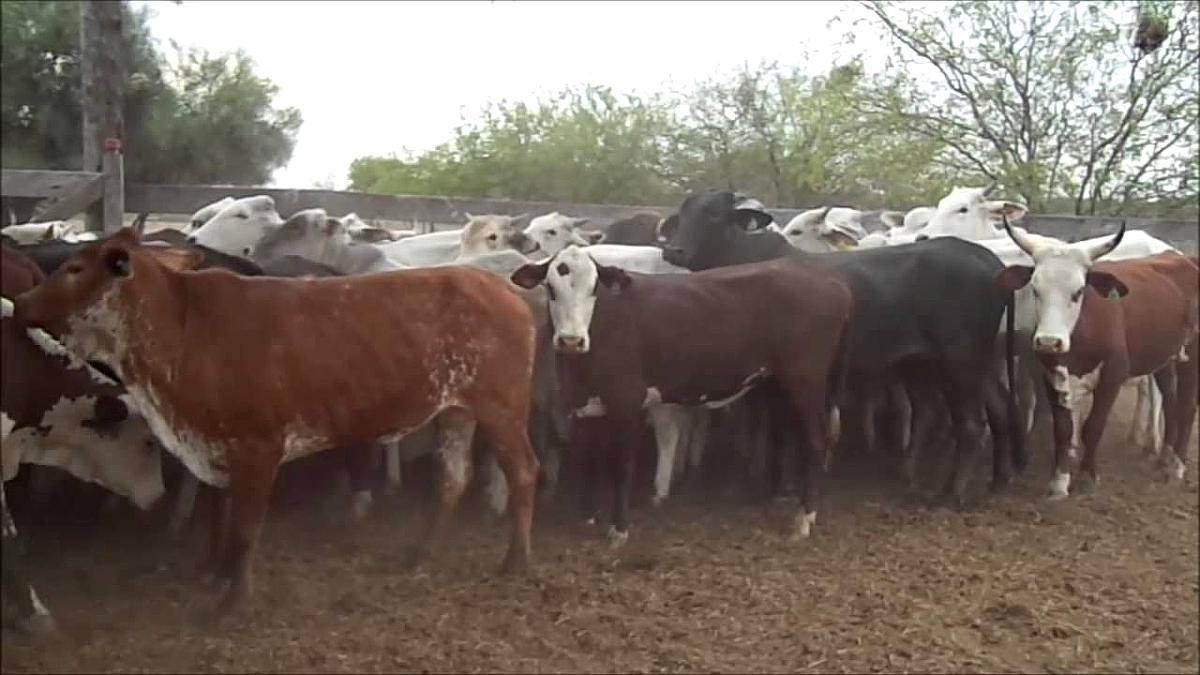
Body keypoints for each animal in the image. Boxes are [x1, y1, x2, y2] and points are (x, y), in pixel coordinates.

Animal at [13, 228, 542, 617]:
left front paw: (231, 604)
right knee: (454, 476)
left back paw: (516, 561)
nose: (20, 302)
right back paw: (423, 552)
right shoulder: (220, 447)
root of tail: (502, 288)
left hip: (502, 409)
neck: (182, 329)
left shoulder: (259, 448)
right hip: (457, 412)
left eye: (75, 268)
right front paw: (217, 575)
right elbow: (223, 516)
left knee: (523, 472)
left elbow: (246, 527)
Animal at [512, 245, 853, 544]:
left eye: (594, 288)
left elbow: (621, 466)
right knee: (785, 436)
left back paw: (804, 519)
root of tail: (831, 282)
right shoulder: (583, 405)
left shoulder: (627, 402)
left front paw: (619, 528)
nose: (571, 340)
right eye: (550, 288)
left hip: (806, 380)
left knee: (814, 441)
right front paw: (587, 516)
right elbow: (588, 459)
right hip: (778, 384)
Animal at [661, 191, 1024, 503]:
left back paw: (952, 493)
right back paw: (987, 478)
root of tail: (989, 260)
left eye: (714, 215)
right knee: (976, 408)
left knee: (971, 423)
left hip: (959, 361)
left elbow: (780, 430)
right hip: (935, 361)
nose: (674, 250)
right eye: (683, 213)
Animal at [997, 221, 1198, 496]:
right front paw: (1059, 482)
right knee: (1169, 400)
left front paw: (1087, 478)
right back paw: (1164, 457)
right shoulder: (1051, 375)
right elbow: (1063, 429)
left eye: (1079, 291)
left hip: (1191, 354)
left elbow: (1093, 426)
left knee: (1186, 406)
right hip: (1164, 358)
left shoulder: (1113, 374)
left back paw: (1176, 467)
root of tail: (1183, 258)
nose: (1049, 341)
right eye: (1035, 289)